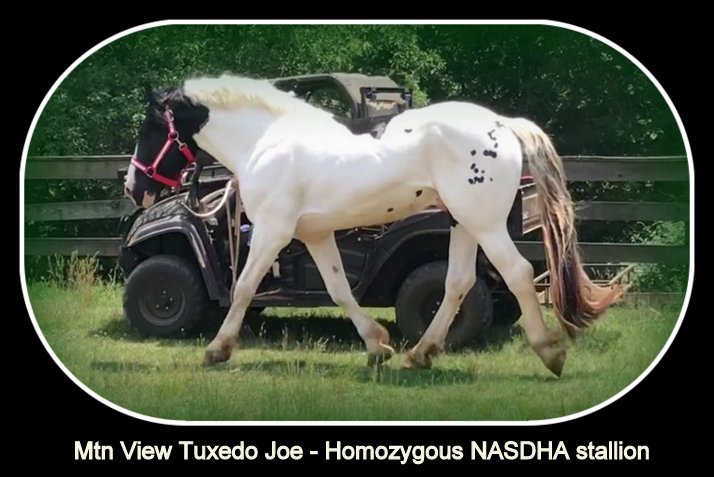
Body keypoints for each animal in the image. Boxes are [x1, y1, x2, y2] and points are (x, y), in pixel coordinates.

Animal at [124, 74, 623, 376]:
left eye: (150, 130)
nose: (133, 187)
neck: (267, 141)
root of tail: (501, 124)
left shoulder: (271, 230)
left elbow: (244, 286)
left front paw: (217, 349)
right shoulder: (314, 234)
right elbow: (339, 289)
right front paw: (377, 345)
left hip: (483, 223)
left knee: (517, 275)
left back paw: (550, 353)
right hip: (462, 225)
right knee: (458, 283)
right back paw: (419, 353)